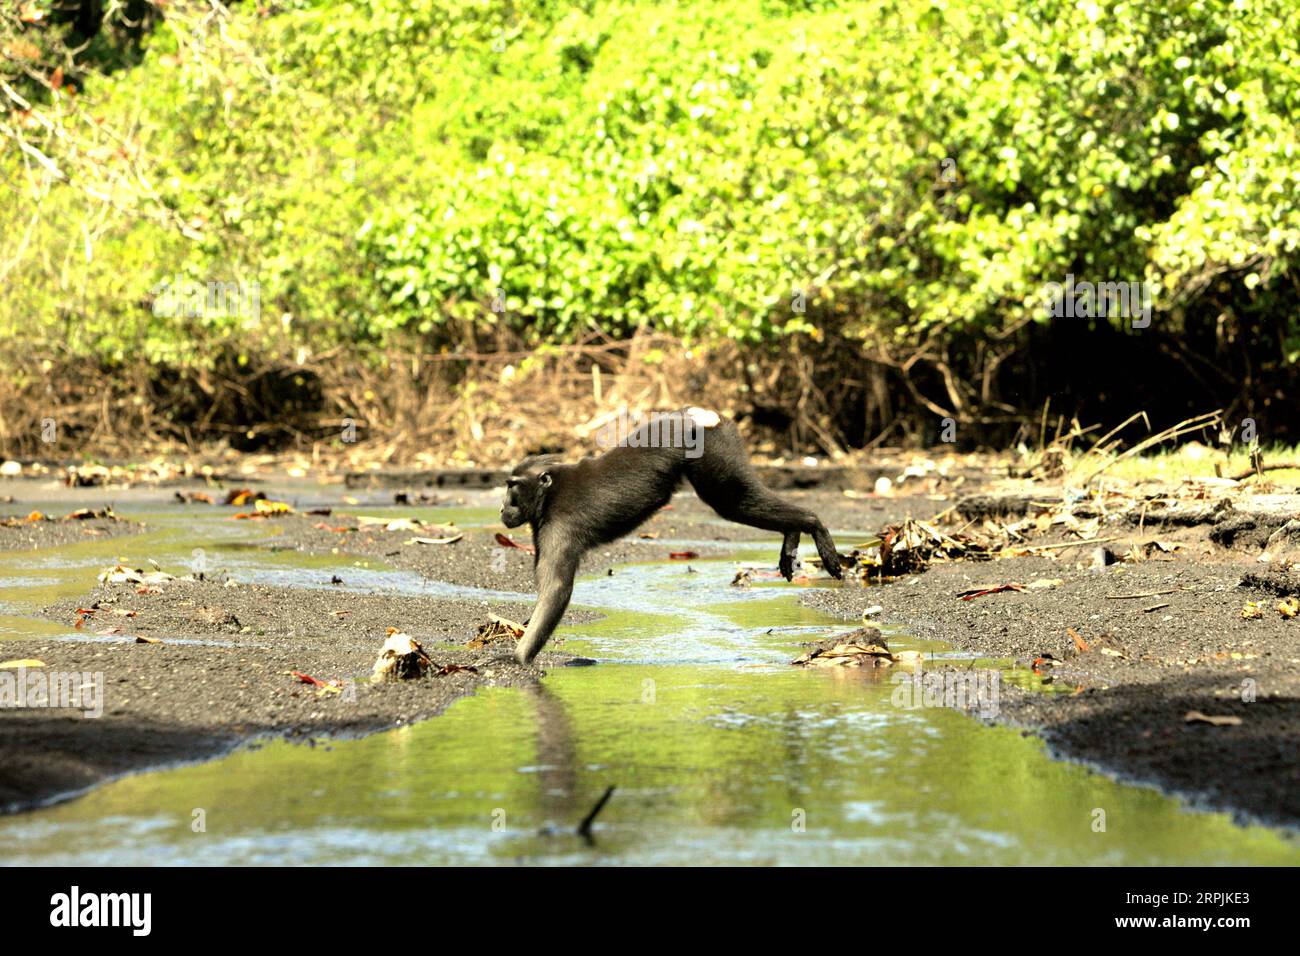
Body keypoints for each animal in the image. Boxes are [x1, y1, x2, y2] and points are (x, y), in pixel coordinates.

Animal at [499, 407, 842, 664]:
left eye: (512, 486)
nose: (503, 509)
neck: (550, 494)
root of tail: (696, 416)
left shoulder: (559, 527)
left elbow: (556, 588)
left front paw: (517, 658)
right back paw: (792, 535)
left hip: (713, 448)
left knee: (734, 502)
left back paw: (813, 526)